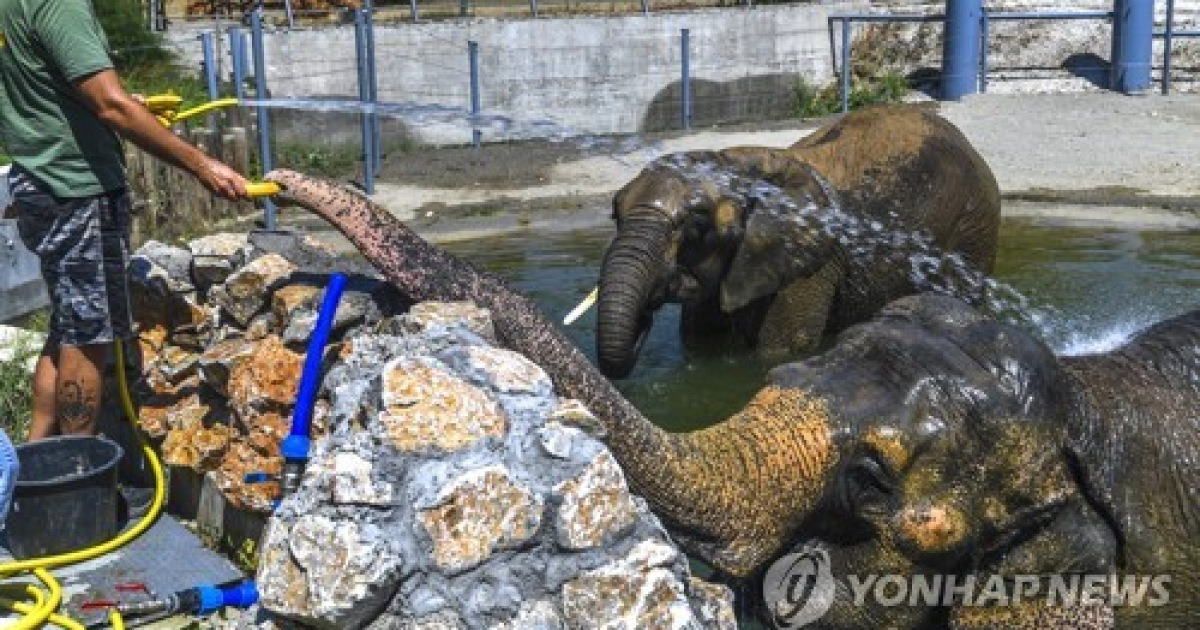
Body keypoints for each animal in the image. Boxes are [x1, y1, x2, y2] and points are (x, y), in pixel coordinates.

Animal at [595, 105, 1002, 378]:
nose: (646, 315)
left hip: (975, 227)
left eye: (697, 227)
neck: (735, 163)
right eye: (614, 214)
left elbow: (780, 350)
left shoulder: (808, 262)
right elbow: (700, 343)